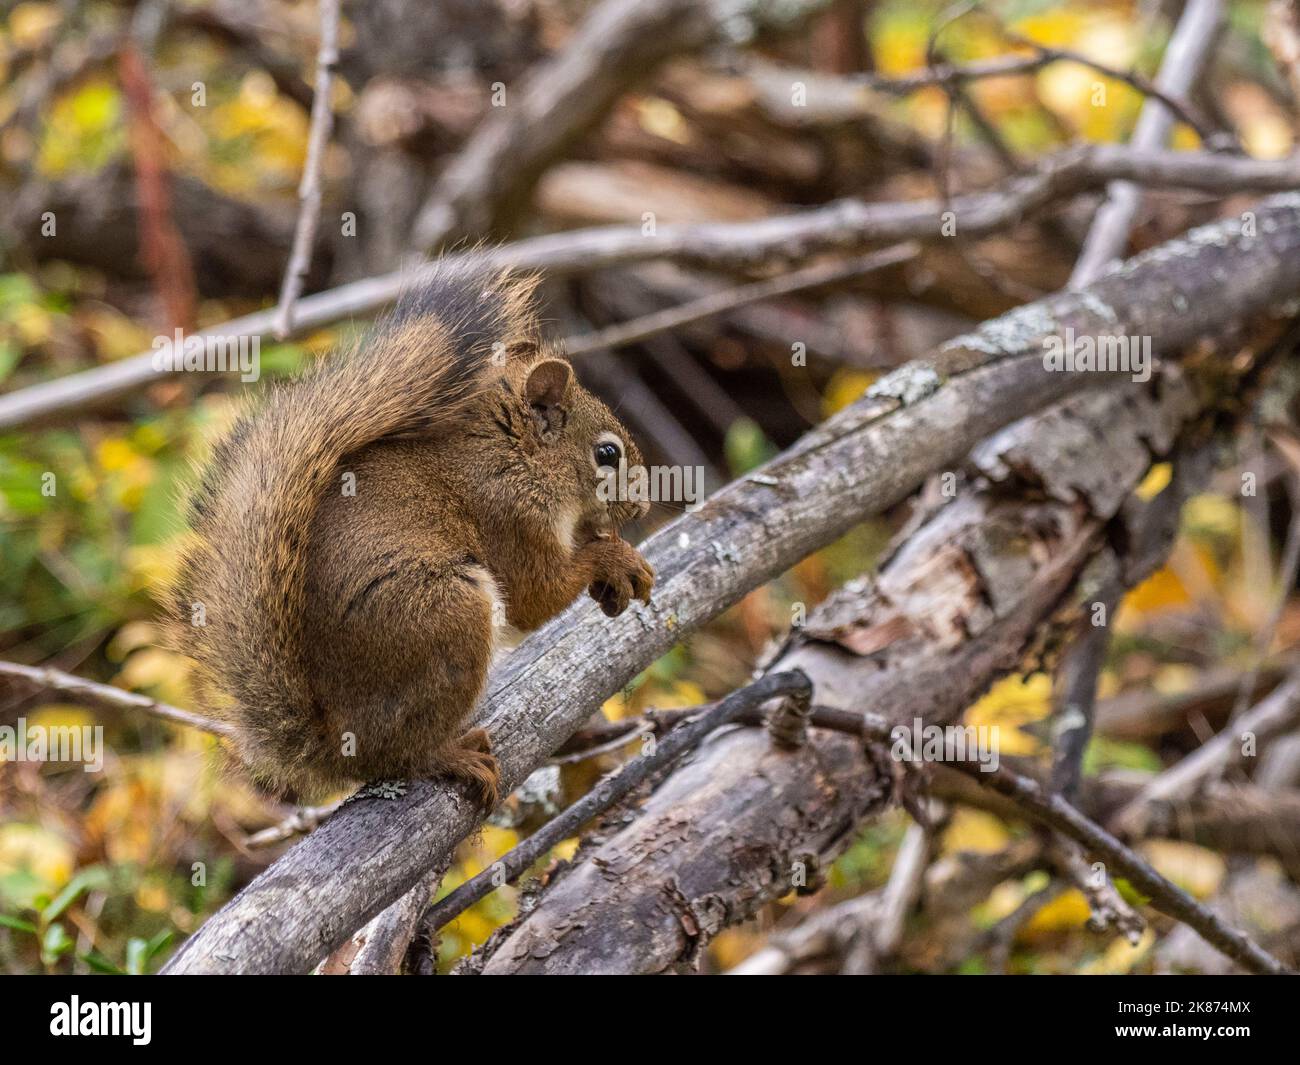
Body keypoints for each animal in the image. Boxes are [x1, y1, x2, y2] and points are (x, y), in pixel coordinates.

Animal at [166, 266, 654, 807]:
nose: (643, 507)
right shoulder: (508, 515)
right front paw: (615, 557)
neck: (515, 453)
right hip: (446, 615)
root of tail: (334, 747)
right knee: (399, 758)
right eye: (607, 454)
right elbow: (535, 595)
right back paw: (450, 756)